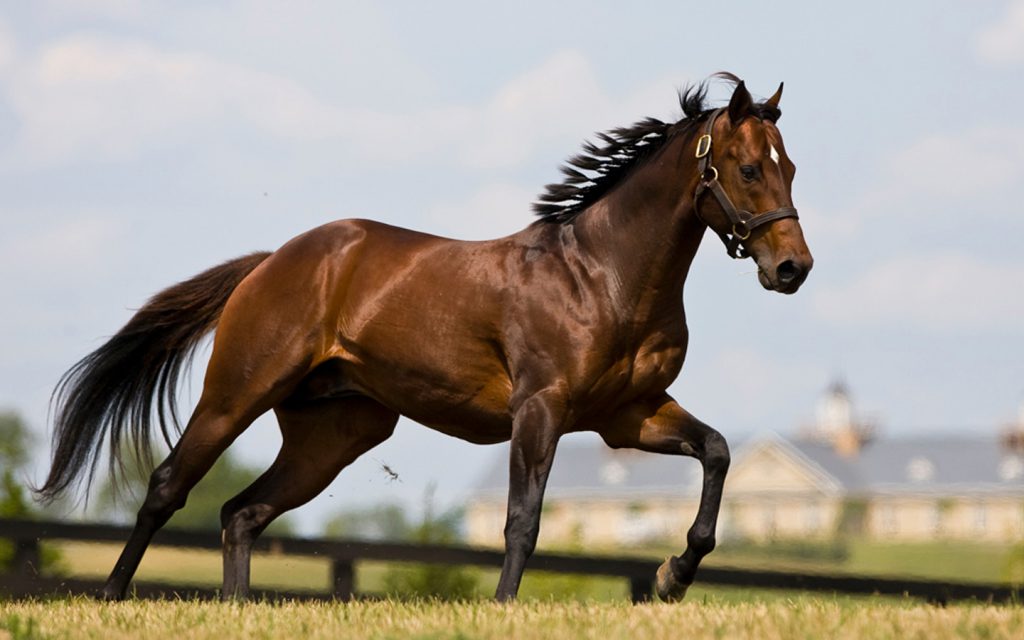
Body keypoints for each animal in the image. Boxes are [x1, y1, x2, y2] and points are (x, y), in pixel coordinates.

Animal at [38, 74, 813, 602]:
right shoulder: (541, 409)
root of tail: (271, 262)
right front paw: (504, 607)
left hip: (336, 433)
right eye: (750, 168)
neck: (601, 275)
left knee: (241, 513)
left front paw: (672, 576)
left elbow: (716, 452)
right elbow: (522, 519)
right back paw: (111, 597)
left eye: (791, 167)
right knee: (168, 487)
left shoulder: (628, 416)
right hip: (237, 394)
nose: (792, 268)